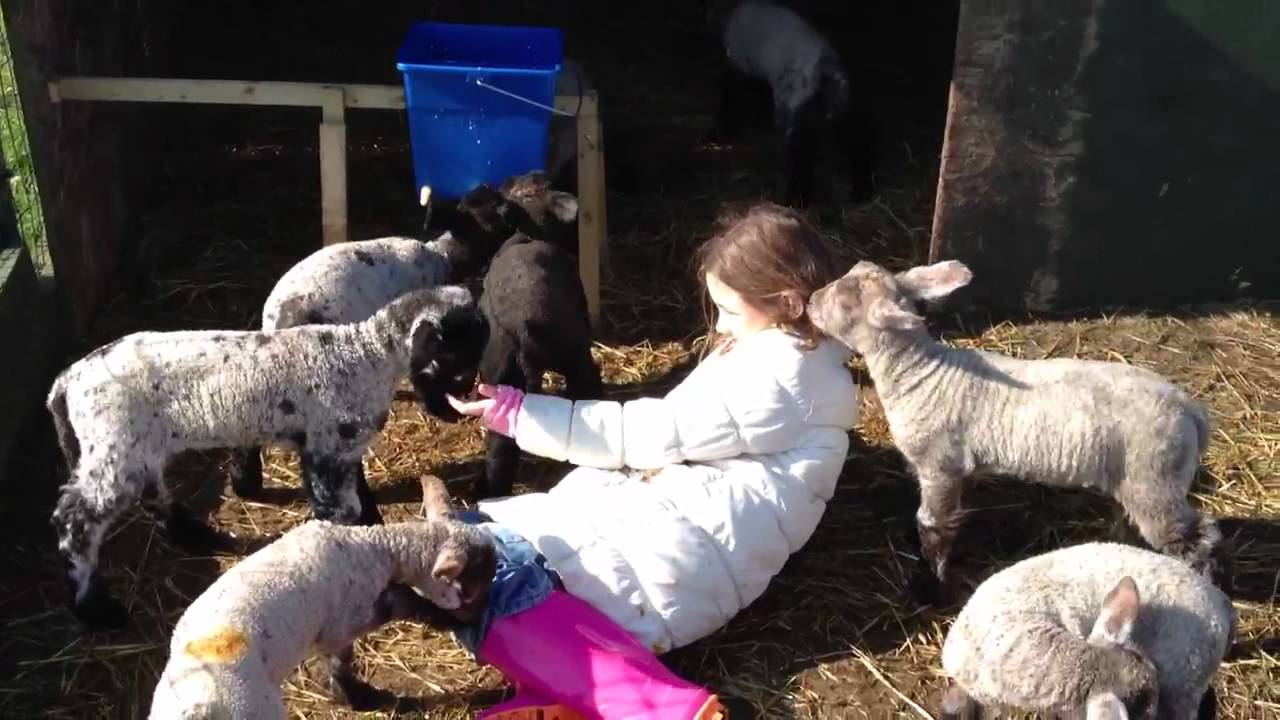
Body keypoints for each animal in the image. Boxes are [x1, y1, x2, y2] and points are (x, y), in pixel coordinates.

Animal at [47, 284, 488, 629]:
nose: (468, 392)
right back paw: (94, 608)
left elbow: (358, 500)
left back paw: (198, 536)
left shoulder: (336, 448)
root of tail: (67, 381)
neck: (366, 354)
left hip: (137, 446)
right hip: (113, 445)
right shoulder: (328, 447)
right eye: (457, 353)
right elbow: (341, 510)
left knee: (151, 494)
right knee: (76, 520)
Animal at [147, 478, 498, 718]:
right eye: (472, 589)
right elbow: (392, 611)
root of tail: (196, 709)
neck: (378, 548)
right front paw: (357, 696)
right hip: (255, 707)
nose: (479, 617)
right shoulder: (344, 621)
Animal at [705, 0, 877, 206]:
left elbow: (730, 100)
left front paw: (720, 134)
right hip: (840, 102)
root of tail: (825, 67)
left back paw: (794, 199)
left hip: (793, 103)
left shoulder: (739, 66)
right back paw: (862, 191)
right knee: (856, 139)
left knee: (800, 151)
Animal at [806, 259, 1229, 598]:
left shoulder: (939, 466)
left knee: (1196, 538)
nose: (810, 301)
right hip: (1140, 478)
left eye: (845, 301)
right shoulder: (955, 471)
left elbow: (932, 525)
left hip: (1156, 479)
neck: (921, 373)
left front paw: (930, 582)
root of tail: (1192, 411)